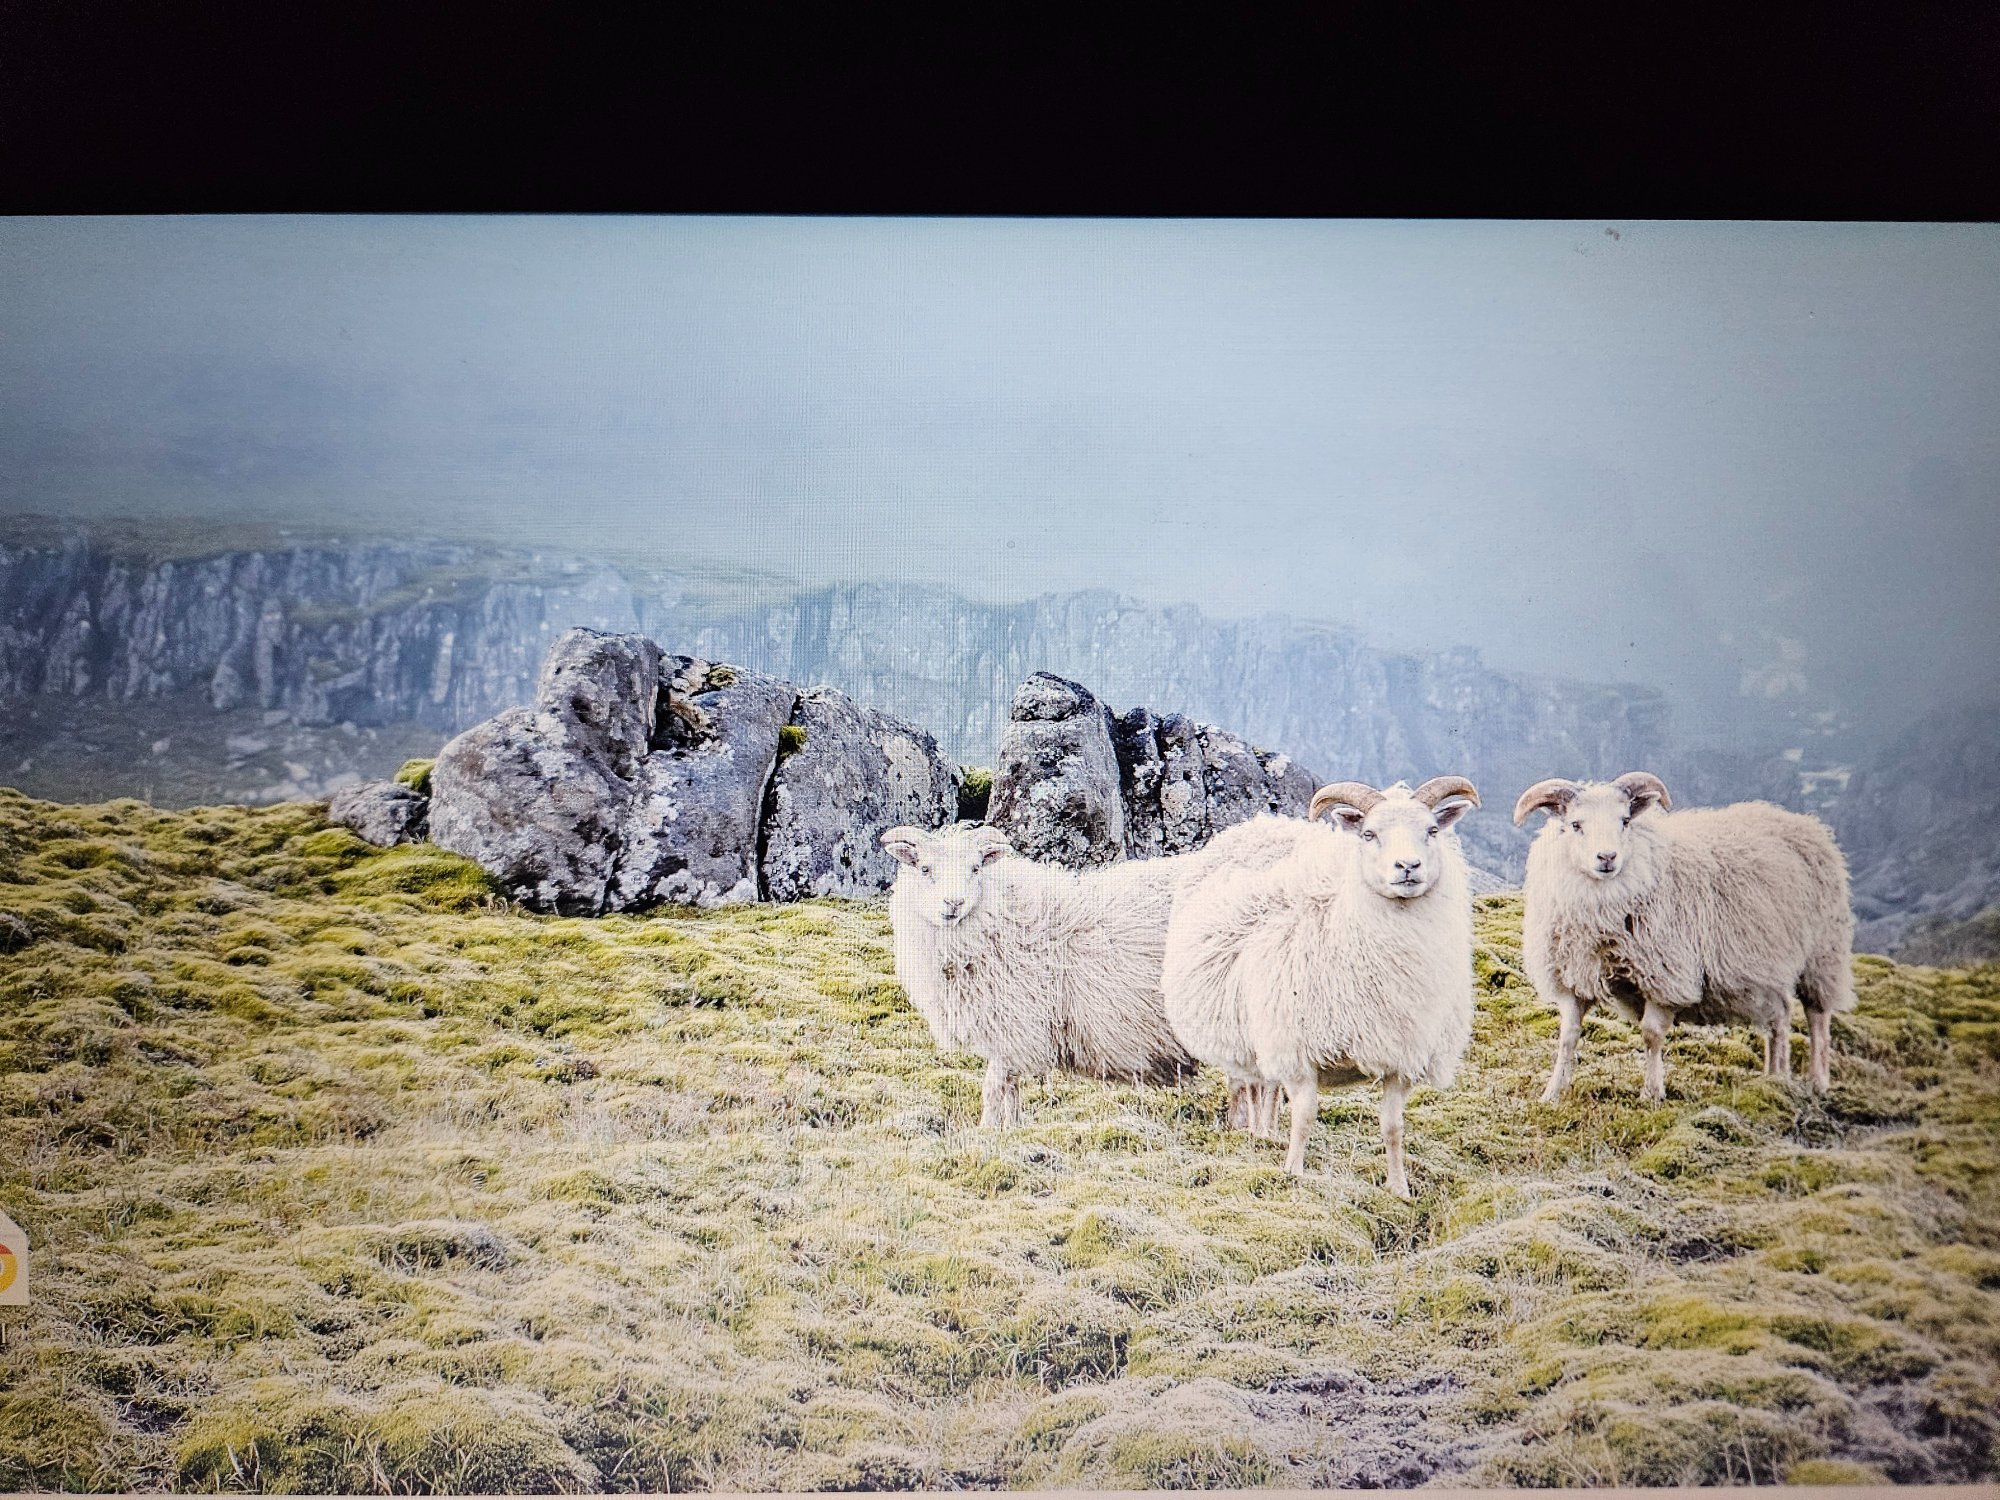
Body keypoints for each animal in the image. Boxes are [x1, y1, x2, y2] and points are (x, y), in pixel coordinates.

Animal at [1161, 776, 1481, 1197]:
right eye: (1368, 834)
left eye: (1431, 830)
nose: (1408, 867)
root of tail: (1261, 825)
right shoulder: (1299, 1049)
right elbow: (1305, 1117)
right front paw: (1293, 1172)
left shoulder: (1401, 1054)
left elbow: (1393, 1127)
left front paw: (1399, 1188)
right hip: (1244, 1030)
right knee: (1251, 1084)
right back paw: (1254, 1132)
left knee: (1267, 1088)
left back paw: (1267, 1133)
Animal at [1513, 771, 1855, 1103]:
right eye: (1575, 825)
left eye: (1625, 821)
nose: (1607, 857)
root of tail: (1806, 824)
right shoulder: (1574, 976)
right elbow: (1567, 1036)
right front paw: (1552, 1093)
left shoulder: (1666, 976)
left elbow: (1651, 1034)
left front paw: (1651, 1094)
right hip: (1768, 970)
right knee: (1780, 1019)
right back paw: (1774, 1079)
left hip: (1822, 953)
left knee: (1817, 1017)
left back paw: (1816, 1082)